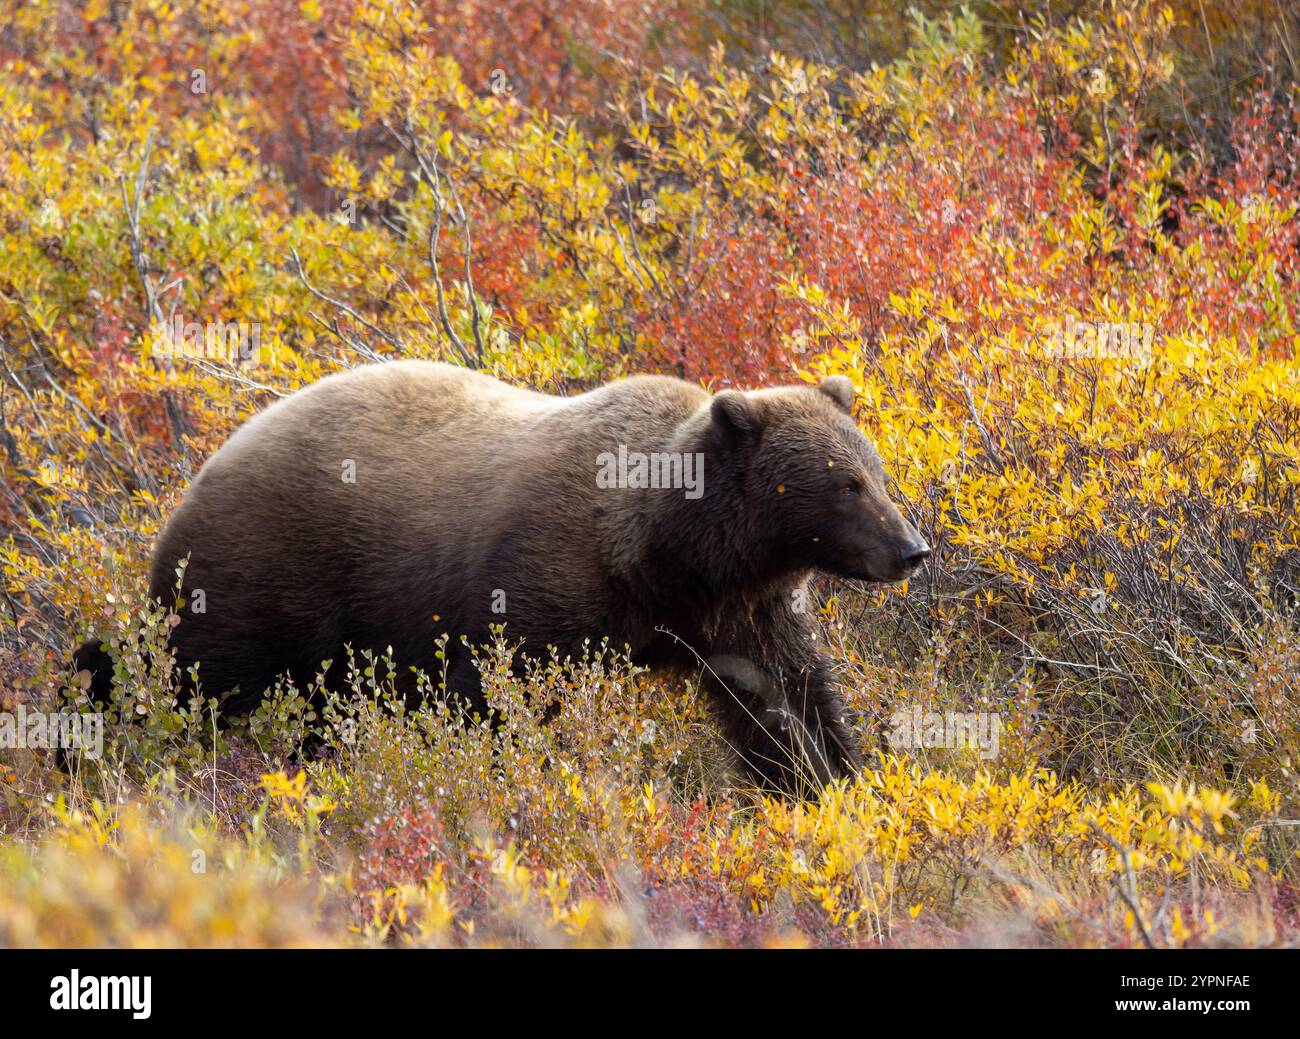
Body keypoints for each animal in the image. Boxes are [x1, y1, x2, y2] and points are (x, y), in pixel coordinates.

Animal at [75, 361, 930, 793]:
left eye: (876, 471)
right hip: (268, 574)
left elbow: (784, 696)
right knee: (189, 676)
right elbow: (499, 697)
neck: (662, 550)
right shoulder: (543, 585)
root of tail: (198, 474)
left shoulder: (733, 609)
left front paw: (829, 779)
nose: (912, 548)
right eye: (844, 484)